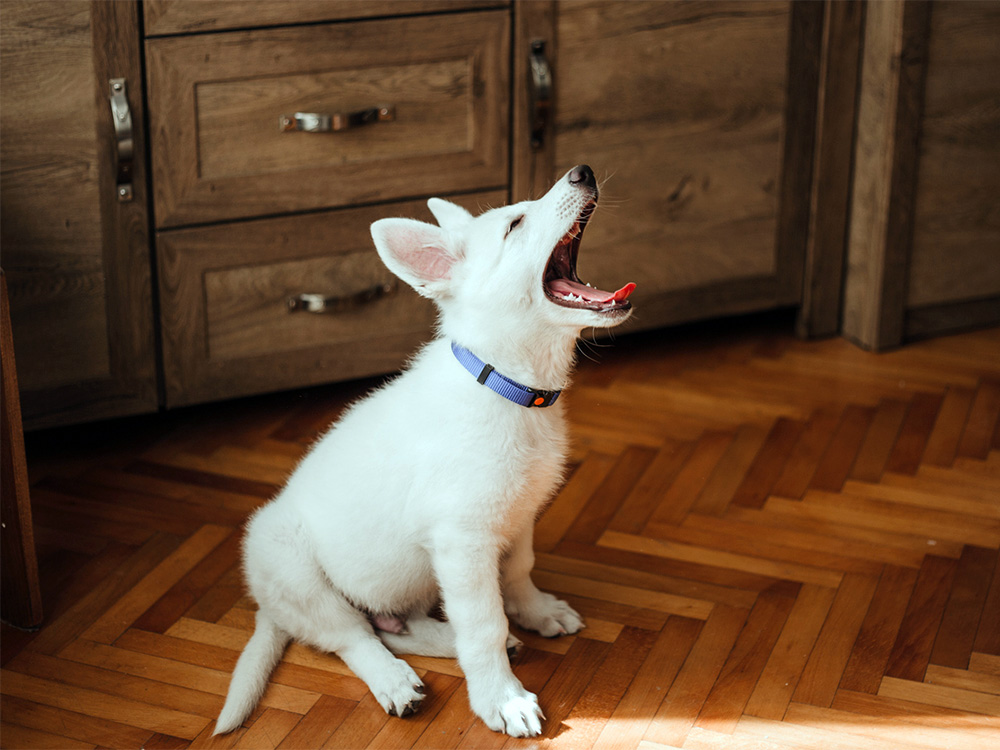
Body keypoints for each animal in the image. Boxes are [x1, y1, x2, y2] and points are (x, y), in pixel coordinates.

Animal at [215, 165, 635, 738]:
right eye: (515, 225)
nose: (583, 172)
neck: (509, 388)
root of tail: (266, 607)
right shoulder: (463, 542)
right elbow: (482, 621)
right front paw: (502, 698)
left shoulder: (518, 515)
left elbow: (518, 571)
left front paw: (536, 611)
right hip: (292, 567)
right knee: (352, 635)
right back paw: (394, 680)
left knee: (394, 627)